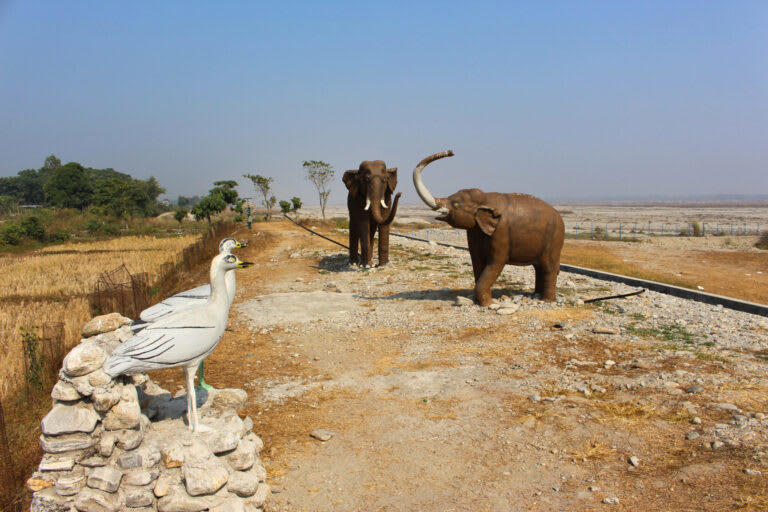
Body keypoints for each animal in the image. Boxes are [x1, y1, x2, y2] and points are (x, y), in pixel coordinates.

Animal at [412, 150, 565, 306]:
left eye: (456, 204)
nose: (450, 152)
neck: (485, 198)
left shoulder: (501, 233)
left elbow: (495, 263)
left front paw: (488, 304)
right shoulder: (474, 232)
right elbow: (477, 261)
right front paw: (478, 301)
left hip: (554, 240)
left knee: (548, 268)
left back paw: (547, 300)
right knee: (539, 268)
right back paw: (536, 295)